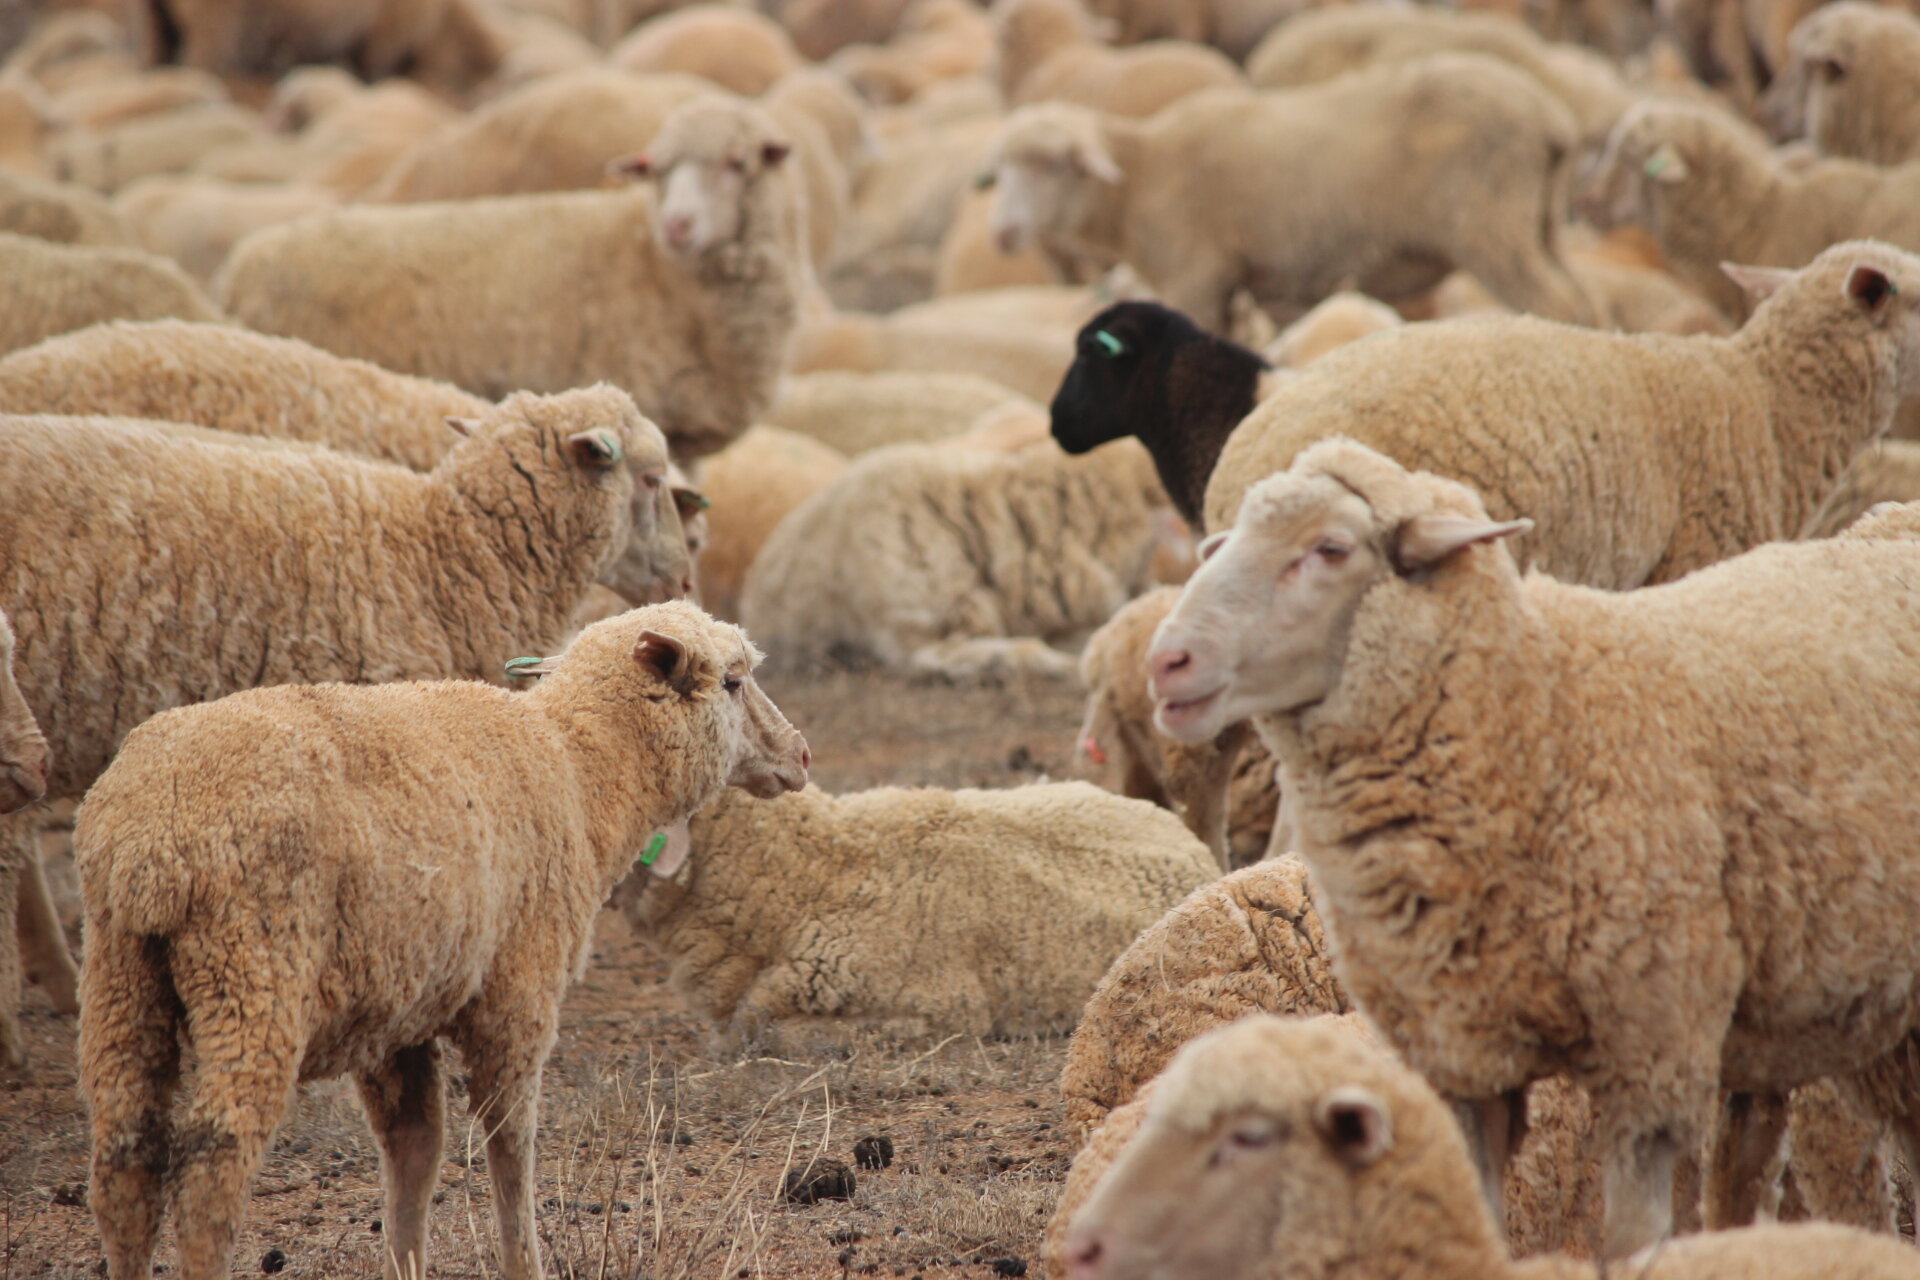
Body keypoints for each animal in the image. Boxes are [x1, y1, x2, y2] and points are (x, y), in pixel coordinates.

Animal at [76, 602, 809, 1280]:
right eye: (735, 681)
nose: (799, 755)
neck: (580, 770)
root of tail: (153, 837)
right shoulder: (519, 986)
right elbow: (510, 1143)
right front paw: (523, 1262)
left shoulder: (396, 1012)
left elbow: (416, 1152)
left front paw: (405, 1259)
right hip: (252, 969)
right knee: (211, 1172)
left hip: (121, 976)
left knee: (124, 1165)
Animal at [982, 60, 1597, 334]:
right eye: (1001, 170)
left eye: (1052, 165)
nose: (1003, 234)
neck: (1142, 176)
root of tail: (1551, 120)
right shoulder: (1251, 287)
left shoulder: (1196, 278)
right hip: (1542, 222)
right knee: (1583, 298)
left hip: (1489, 224)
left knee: (1557, 304)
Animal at [1148, 436, 1920, 1256]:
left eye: (1330, 548)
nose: (1168, 662)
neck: (1540, 719)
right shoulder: (1464, 1060)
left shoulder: (1651, 1052)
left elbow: (1633, 1240)